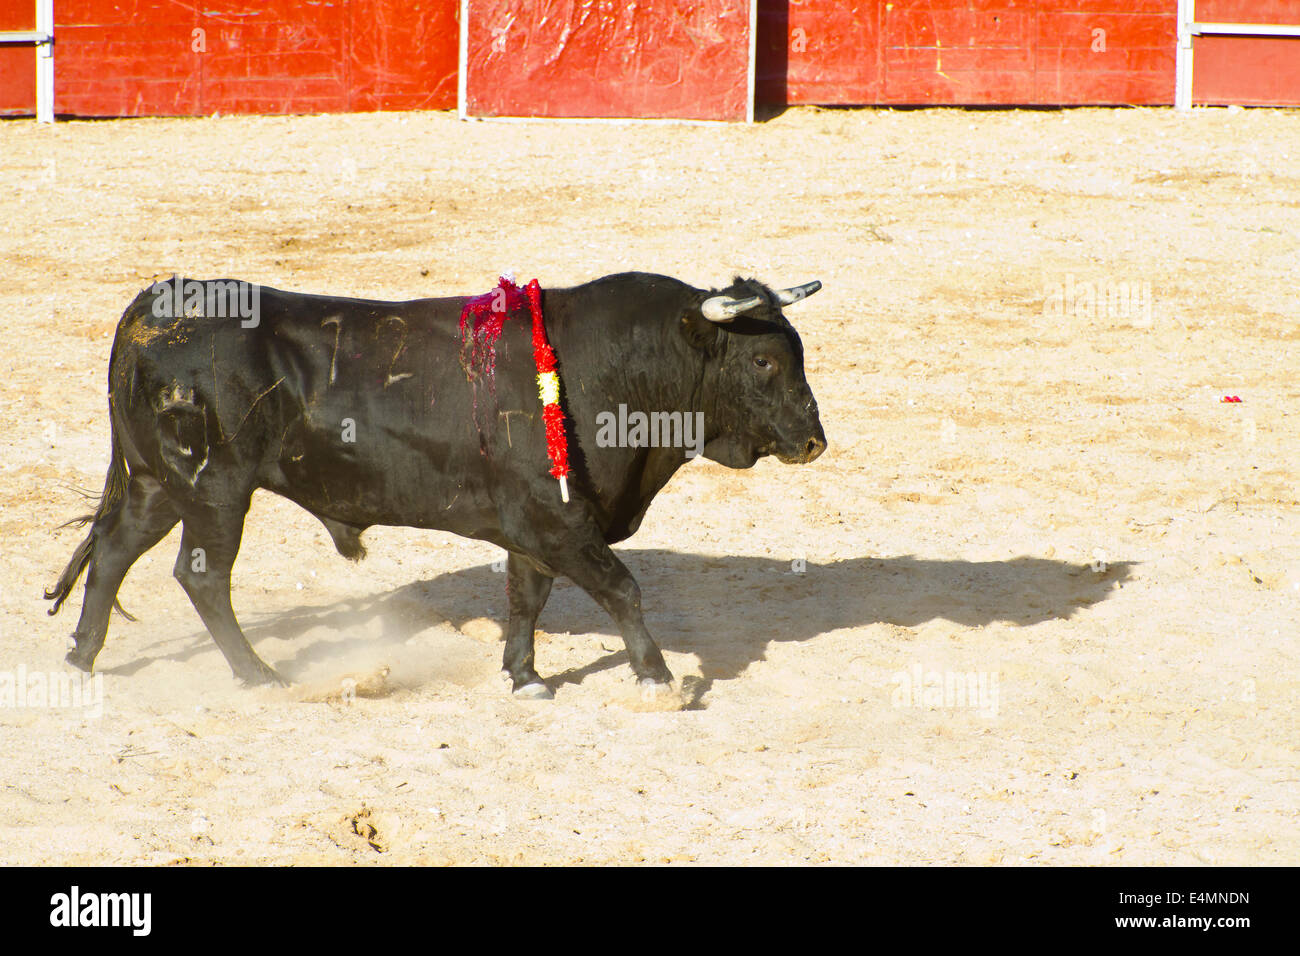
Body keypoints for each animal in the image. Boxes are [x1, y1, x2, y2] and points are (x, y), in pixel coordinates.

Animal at [46, 272, 826, 698]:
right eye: (763, 361)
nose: (815, 440)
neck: (615, 368)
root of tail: (153, 309)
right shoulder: (557, 520)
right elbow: (621, 588)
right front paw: (657, 678)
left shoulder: (533, 526)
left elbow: (526, 597)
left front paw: (525, 677)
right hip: (214, 490)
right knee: (200, 576)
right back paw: (259, 675)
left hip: (157, 483)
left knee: (113, 551)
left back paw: (82, 656)